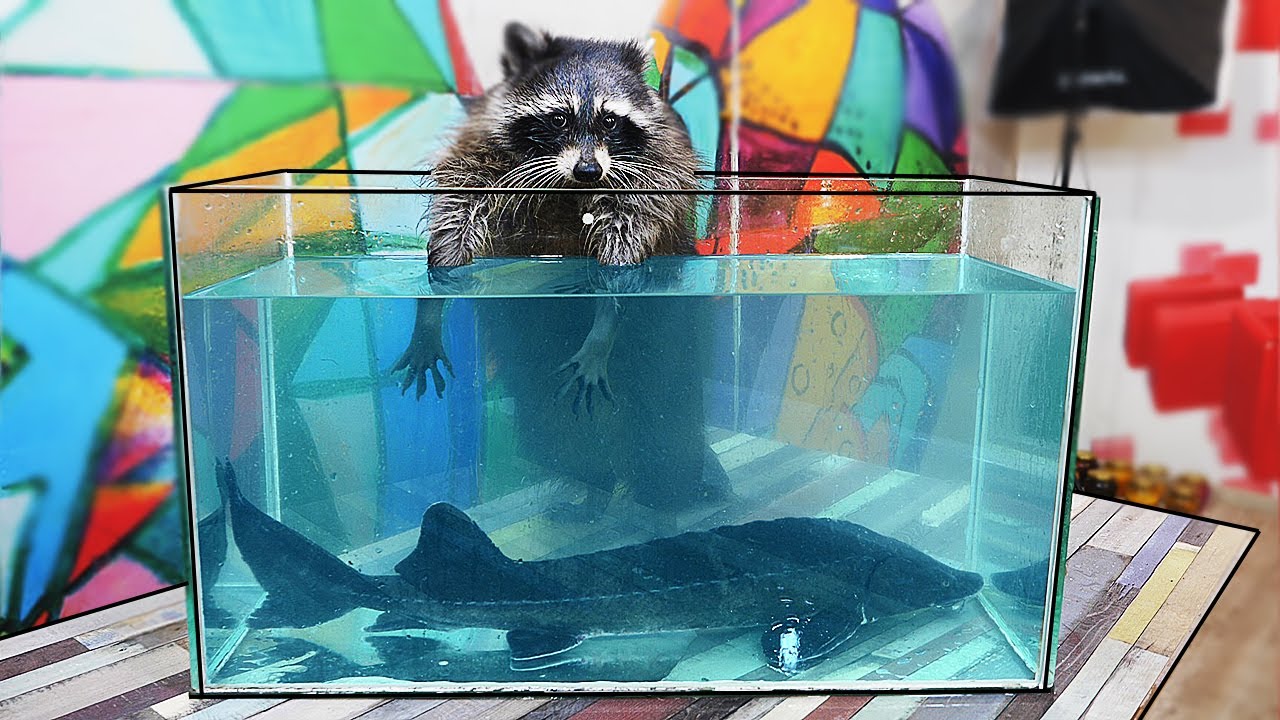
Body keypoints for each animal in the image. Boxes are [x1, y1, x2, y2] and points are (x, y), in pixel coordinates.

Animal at [424, 21, 701, 266]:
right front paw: (452, 236)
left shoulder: (661, 152)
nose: (588, 171)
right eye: (559, 120)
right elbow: (465, 177)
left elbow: (648, 196)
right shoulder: (486, 136)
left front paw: (622, 245)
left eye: (609, 121)